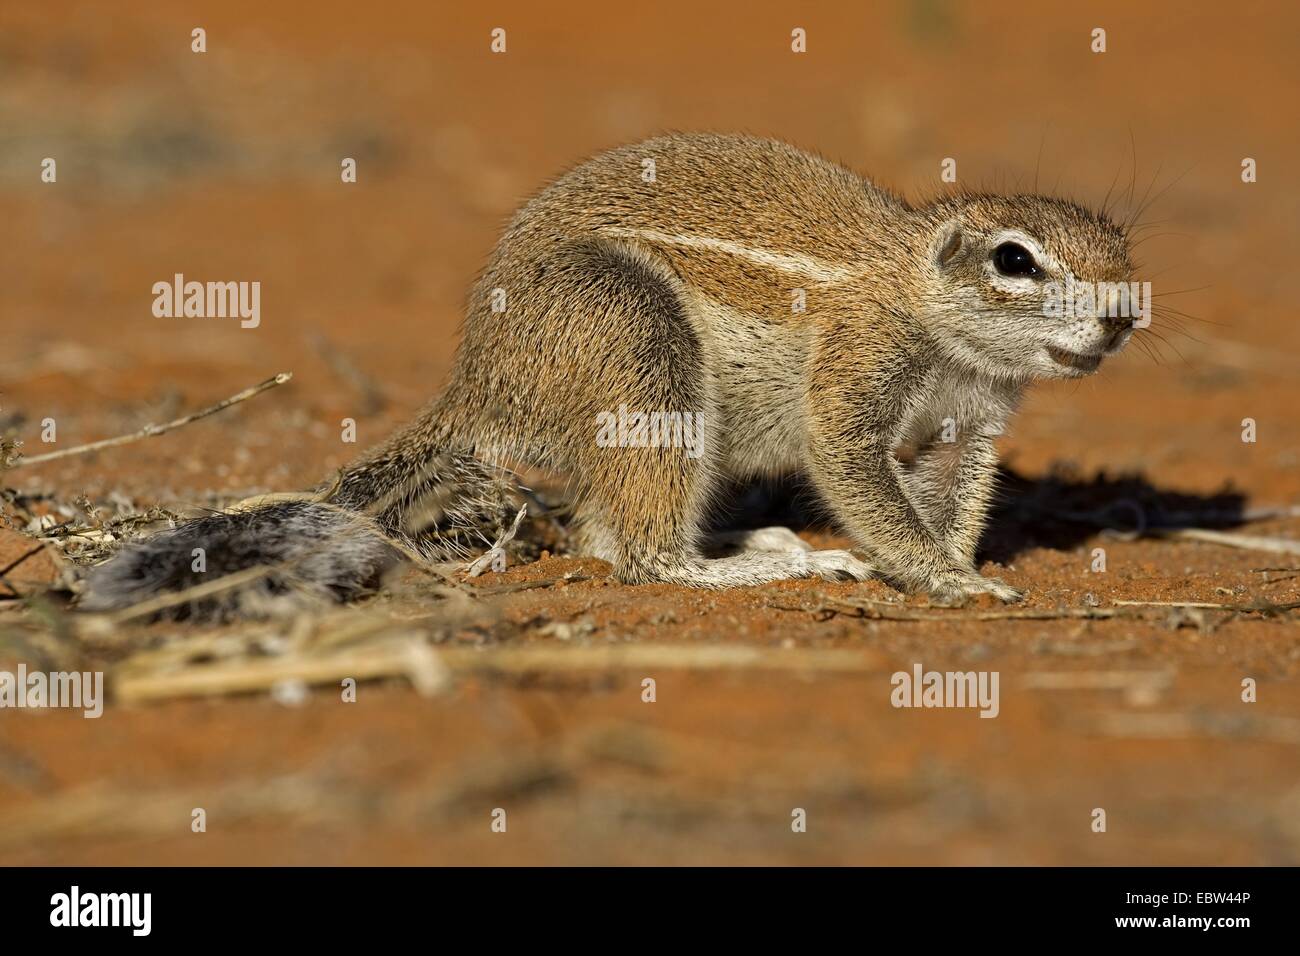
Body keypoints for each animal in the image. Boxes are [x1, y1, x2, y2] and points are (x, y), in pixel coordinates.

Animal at [82, 132, 1136, 618]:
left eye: (1126, 251)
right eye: (1015, 261)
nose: (1125, 316)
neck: (921, 295)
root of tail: (480, 384)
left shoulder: (970, 426)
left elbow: (949, 498)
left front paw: (957, 565)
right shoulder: (858, 366)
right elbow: (858, 477)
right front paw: (953, 583)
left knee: (597, 528)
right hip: (639, 345)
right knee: (634, 551)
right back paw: (753, 567)